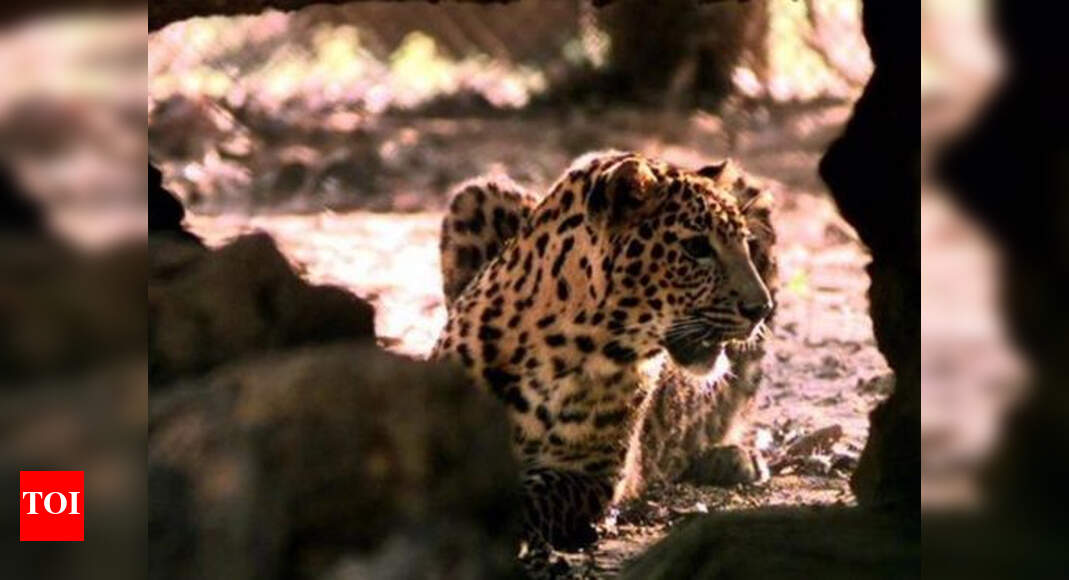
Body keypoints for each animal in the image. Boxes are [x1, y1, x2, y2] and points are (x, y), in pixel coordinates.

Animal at [432, 150, 775, 551]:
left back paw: (735, 459)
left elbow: (530, 496)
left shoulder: (591, 473)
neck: (563, 346)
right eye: (697, 248)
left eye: (746, 245)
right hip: (476, 193)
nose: (760, 309)